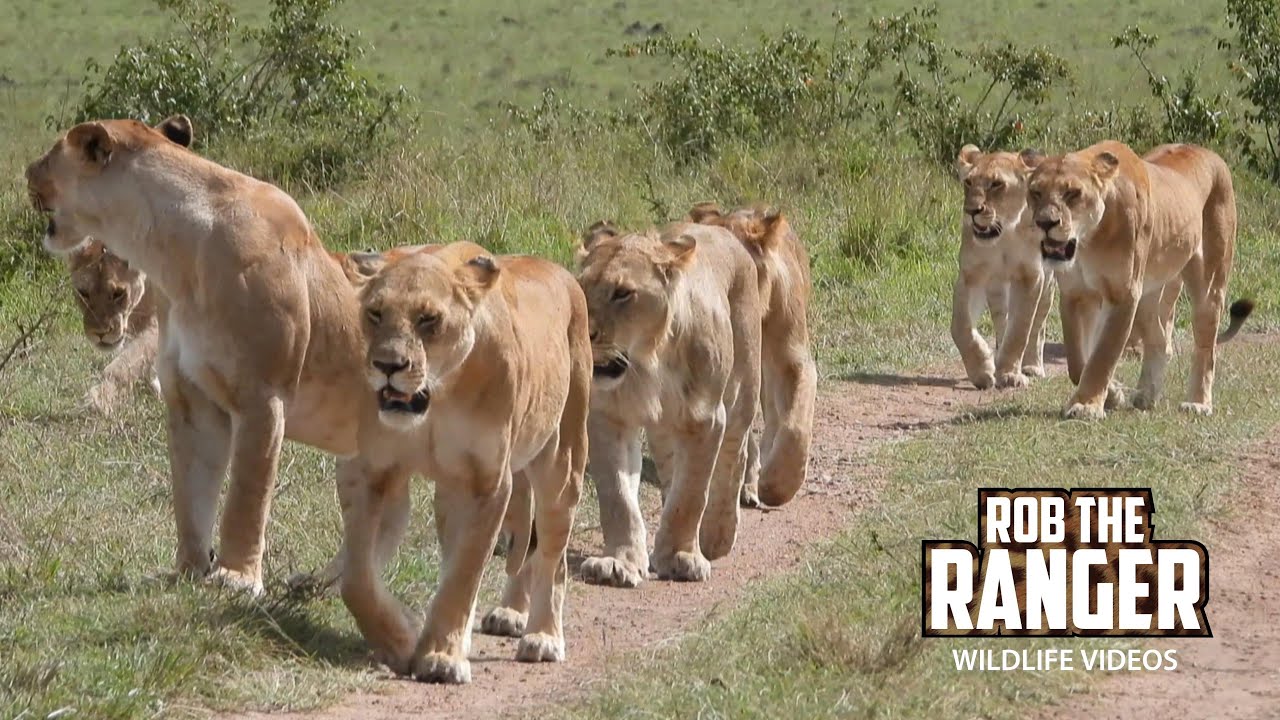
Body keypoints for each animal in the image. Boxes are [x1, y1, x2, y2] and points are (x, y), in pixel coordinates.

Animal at [334, 241, 589, 683]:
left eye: (428, 319)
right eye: (375, 313)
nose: (387, 366)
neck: (437, 395)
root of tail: (563, 273)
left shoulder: (486, 483)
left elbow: (465, 573)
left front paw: (441, 656)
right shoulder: (372, 469)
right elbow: (357, 578)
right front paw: (401, 638)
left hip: (563, 460)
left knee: (552, 556)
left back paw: (542, 636)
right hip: (454, 491)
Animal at [576, 220, 761, 587]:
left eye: (623, 293)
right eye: (583, 287)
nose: (583, 335)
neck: (648, 361)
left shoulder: (705, 418)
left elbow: (690, 494)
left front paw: (680, 556)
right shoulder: (608, 417)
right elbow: (617, 496)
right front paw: (619, 563)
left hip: (743, 389)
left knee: (735, 454)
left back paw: (718, 533)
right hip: (664, 427)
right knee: (669, 465)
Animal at [1027, 140, 1253, 418]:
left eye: (1073, 193)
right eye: (1035, 192)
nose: (1045, 222)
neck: (1087, 240)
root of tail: (1206, 151)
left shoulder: (1123, 294)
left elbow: (1103, 354)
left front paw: (1087, 406)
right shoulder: (1075, 293)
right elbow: (1077, 361)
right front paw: (1112, 394)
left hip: (1208, 283)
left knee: (1206, 347)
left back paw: (1198, 404)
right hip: (1149, 292)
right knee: (1161, 339)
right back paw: (1146, 395)